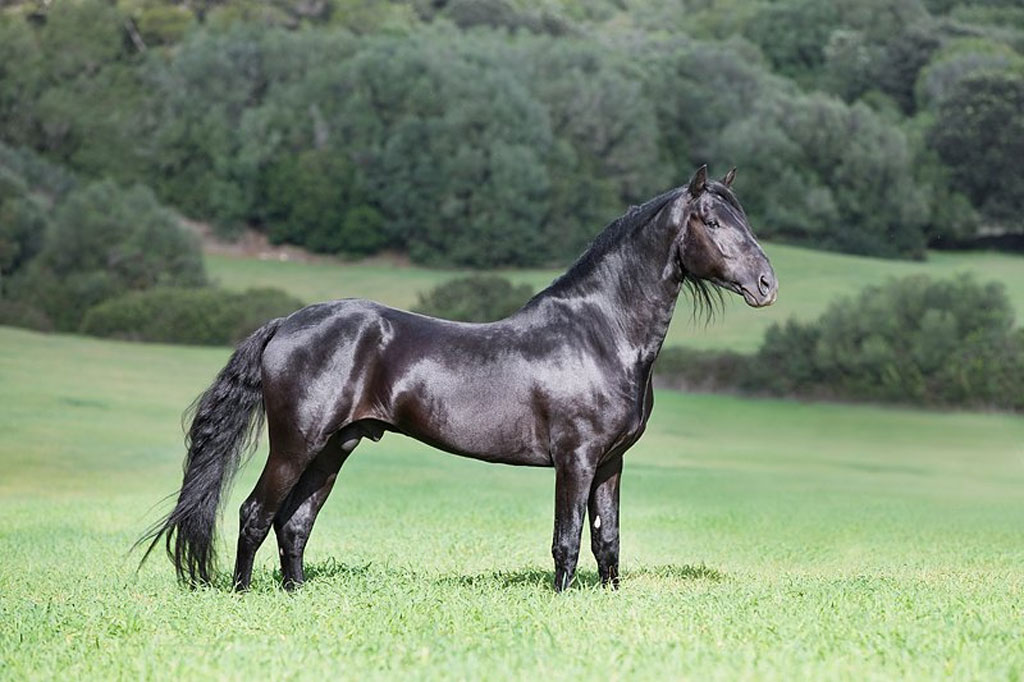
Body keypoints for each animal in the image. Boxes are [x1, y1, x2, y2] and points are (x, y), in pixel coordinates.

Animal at [139, 165, 777, 592]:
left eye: (744, 219)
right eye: (713, 221)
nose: (767, 284)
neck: (600, 333)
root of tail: (286, 324)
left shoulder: (611, 462)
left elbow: (608, 541)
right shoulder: (575, 459)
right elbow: (567, 541)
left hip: (336, 446)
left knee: (294, 524)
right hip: (296, 443)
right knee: (255, 515)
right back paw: (243, 596)